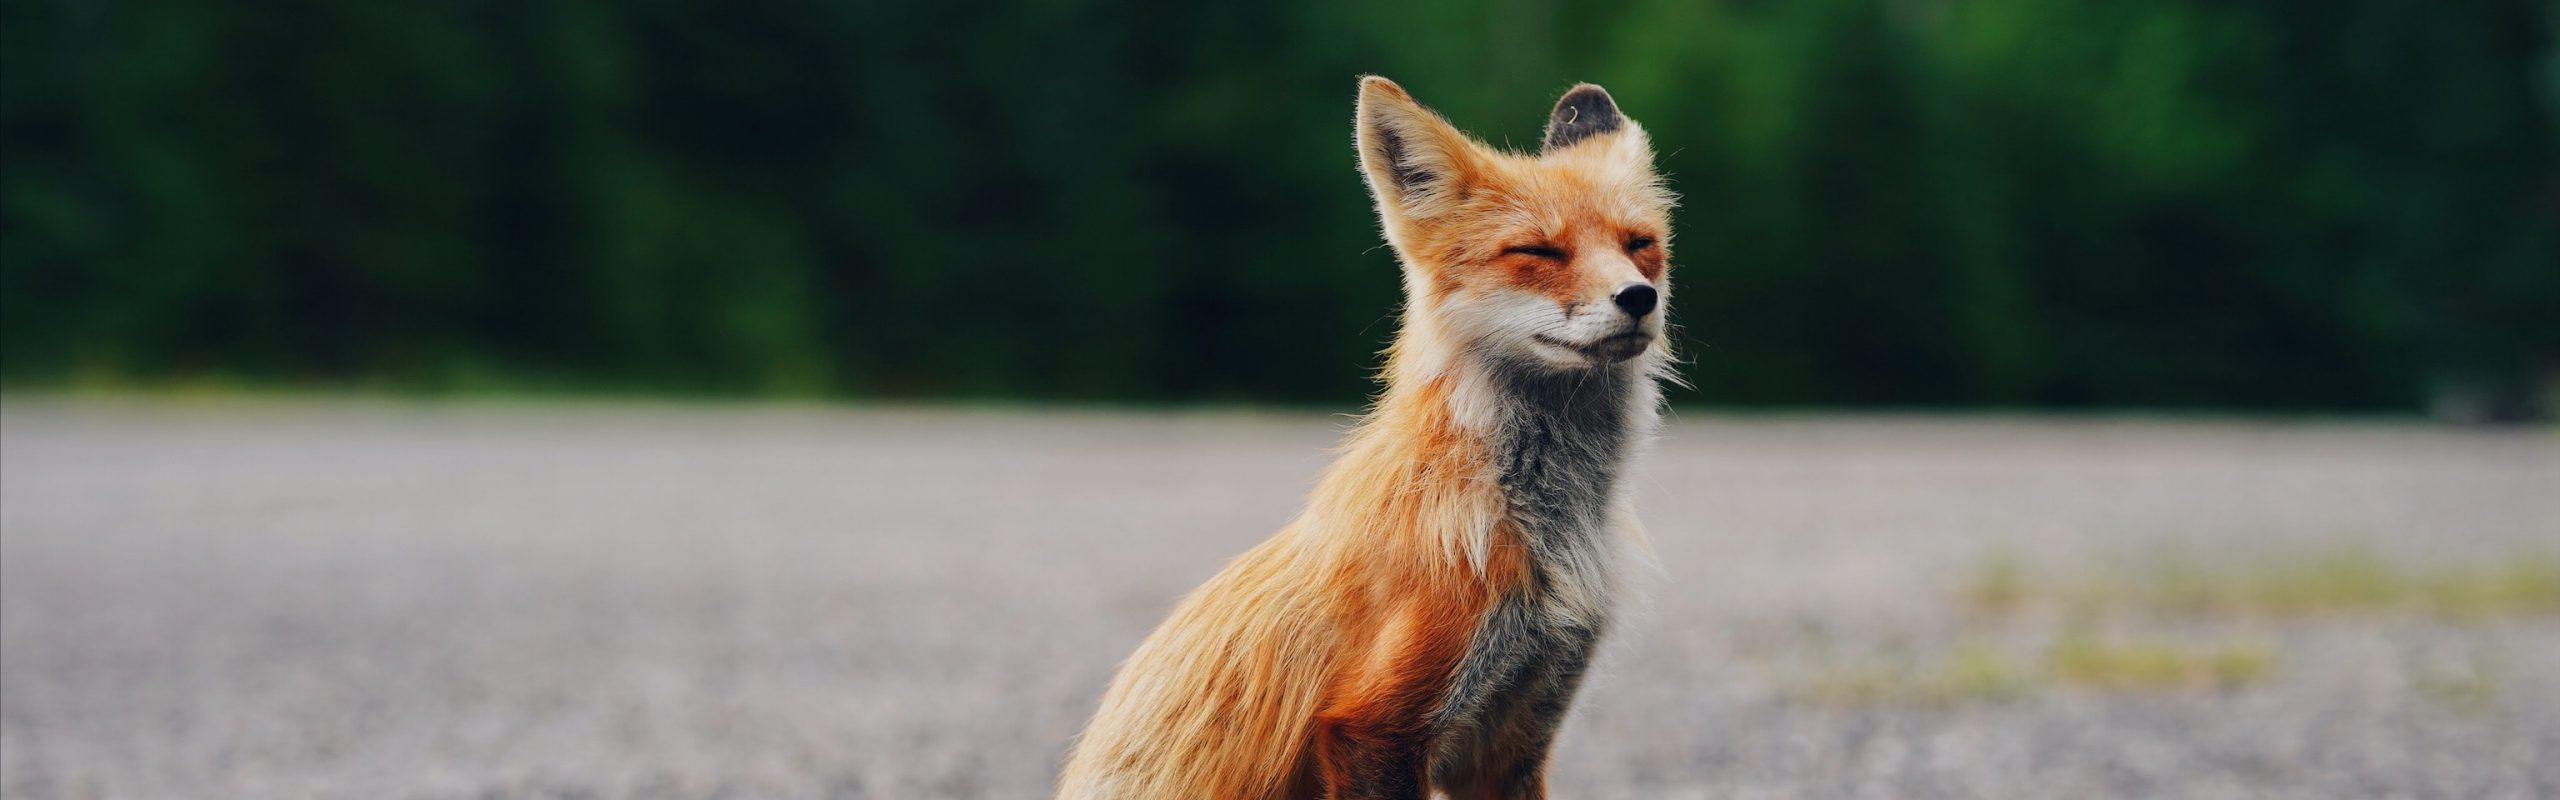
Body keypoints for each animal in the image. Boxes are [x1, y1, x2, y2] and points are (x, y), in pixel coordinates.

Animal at [1056, 76, 1676, 800]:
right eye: (1538, 252)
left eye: (1639, 244)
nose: (1638, 298)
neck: (1547, 525)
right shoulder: (1375, 724)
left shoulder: (1513, 735)